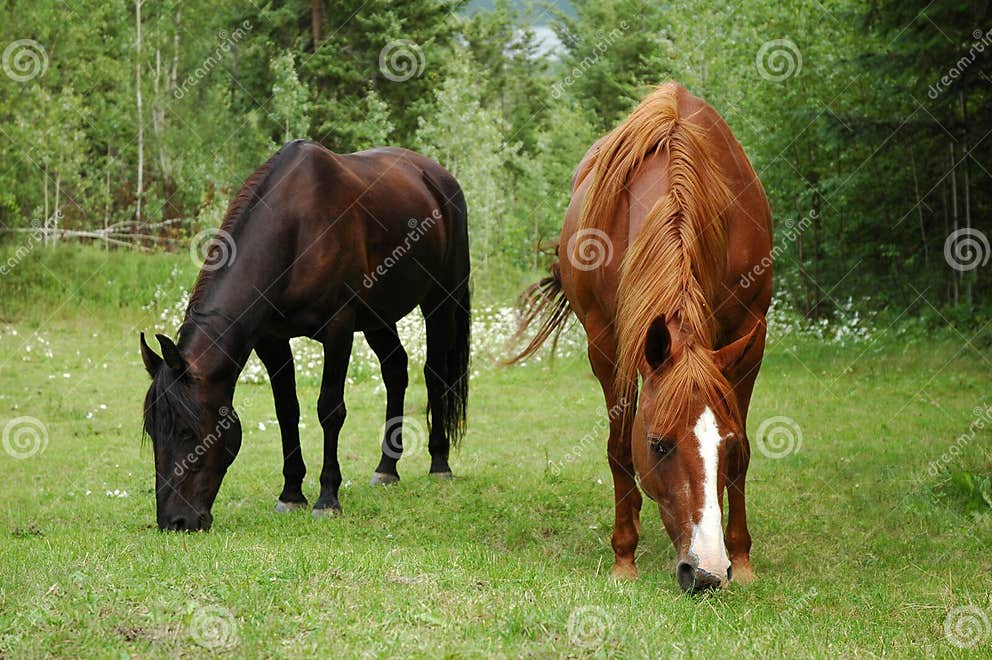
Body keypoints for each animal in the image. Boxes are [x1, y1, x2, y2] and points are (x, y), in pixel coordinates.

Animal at [140, 140, 470, 531]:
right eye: (152, 432)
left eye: (187, 432)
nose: (174, 521)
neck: (295, 231)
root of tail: (437, 177)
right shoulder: (271, 341)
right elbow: (287, 410)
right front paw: (291, 493)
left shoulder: (339, 329)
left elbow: (330, 409)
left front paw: (327, 497)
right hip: (378, 318)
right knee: (395, 371)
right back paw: (387, 468)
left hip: (440, 300)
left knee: (435, 374)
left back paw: (440, 463)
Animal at [509, 82, 772, 592]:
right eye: (659, 445)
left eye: (725, 444)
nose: (705, 571)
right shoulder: (606, 346)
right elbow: (618, 448)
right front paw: (623, 557)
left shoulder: (749, 337)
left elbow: (746, 454)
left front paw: (742, 556)